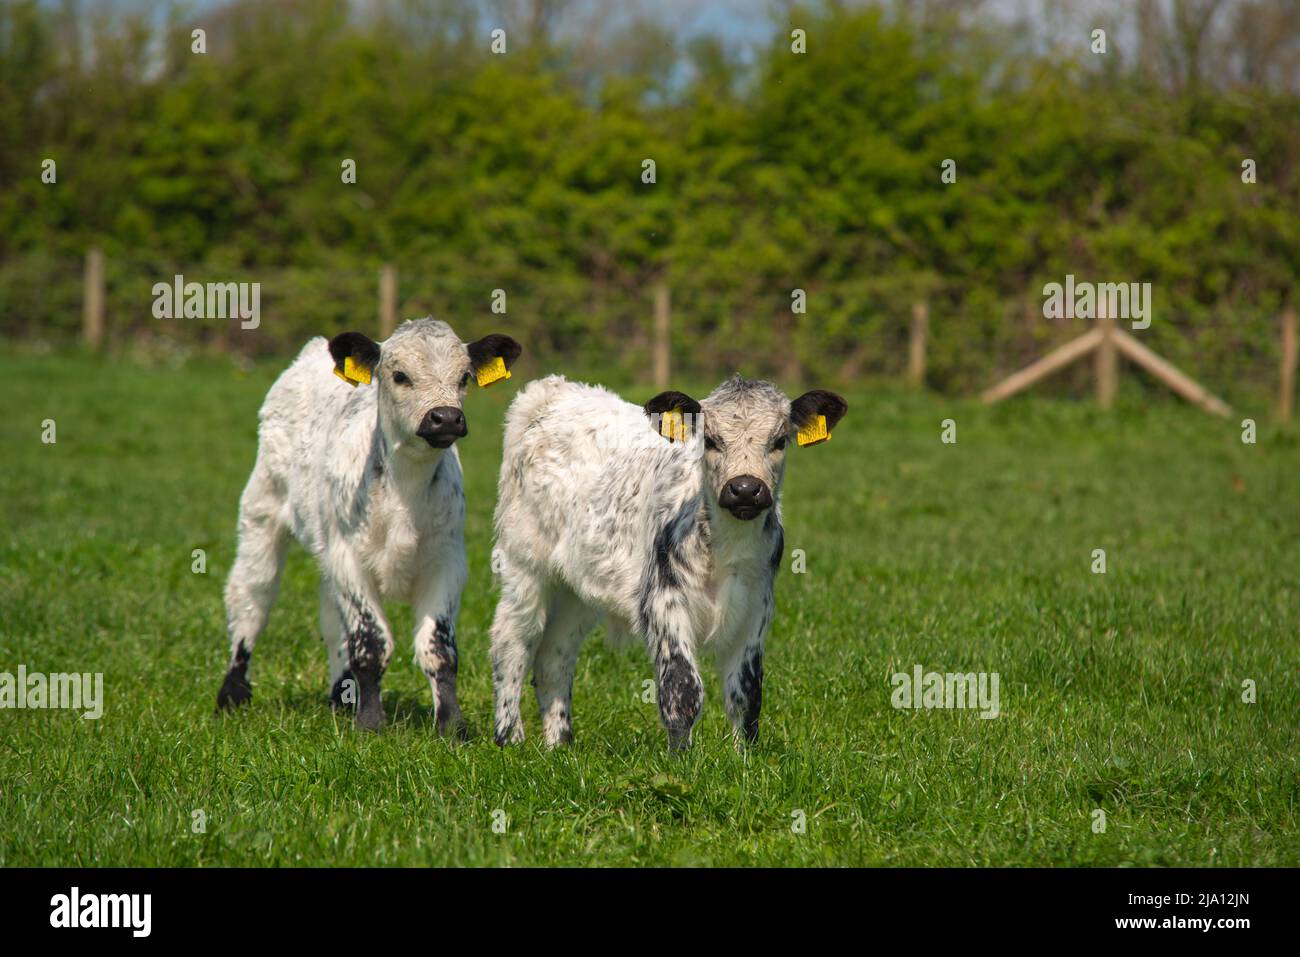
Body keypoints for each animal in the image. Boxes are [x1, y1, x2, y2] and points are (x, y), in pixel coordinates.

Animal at [215, 317, 521, 733]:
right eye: (399, 375)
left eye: (464, 377)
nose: (446, 417)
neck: (405, 489)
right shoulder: (348, 557)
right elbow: (371, 642)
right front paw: (371, 723)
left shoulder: (447, 561)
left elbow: (439, 648)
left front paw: (451, 726)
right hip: (263, 508)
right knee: (251, 595)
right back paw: (232, 693)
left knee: (331, 619)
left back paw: (340, 697)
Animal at [488, 373, 847, 750]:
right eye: (710, 440)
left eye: (778, 441)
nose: (746, 489)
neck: (727, 550)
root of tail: (552, 387)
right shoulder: (663, 600)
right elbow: (682, 685)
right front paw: (682, 757)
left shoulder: (755, 608)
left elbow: (746, 692)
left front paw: (744, 756)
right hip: (524, 566)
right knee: (511, 643)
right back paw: (510, 738)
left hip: (577, 586)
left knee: (554, 657)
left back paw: (560, 745)